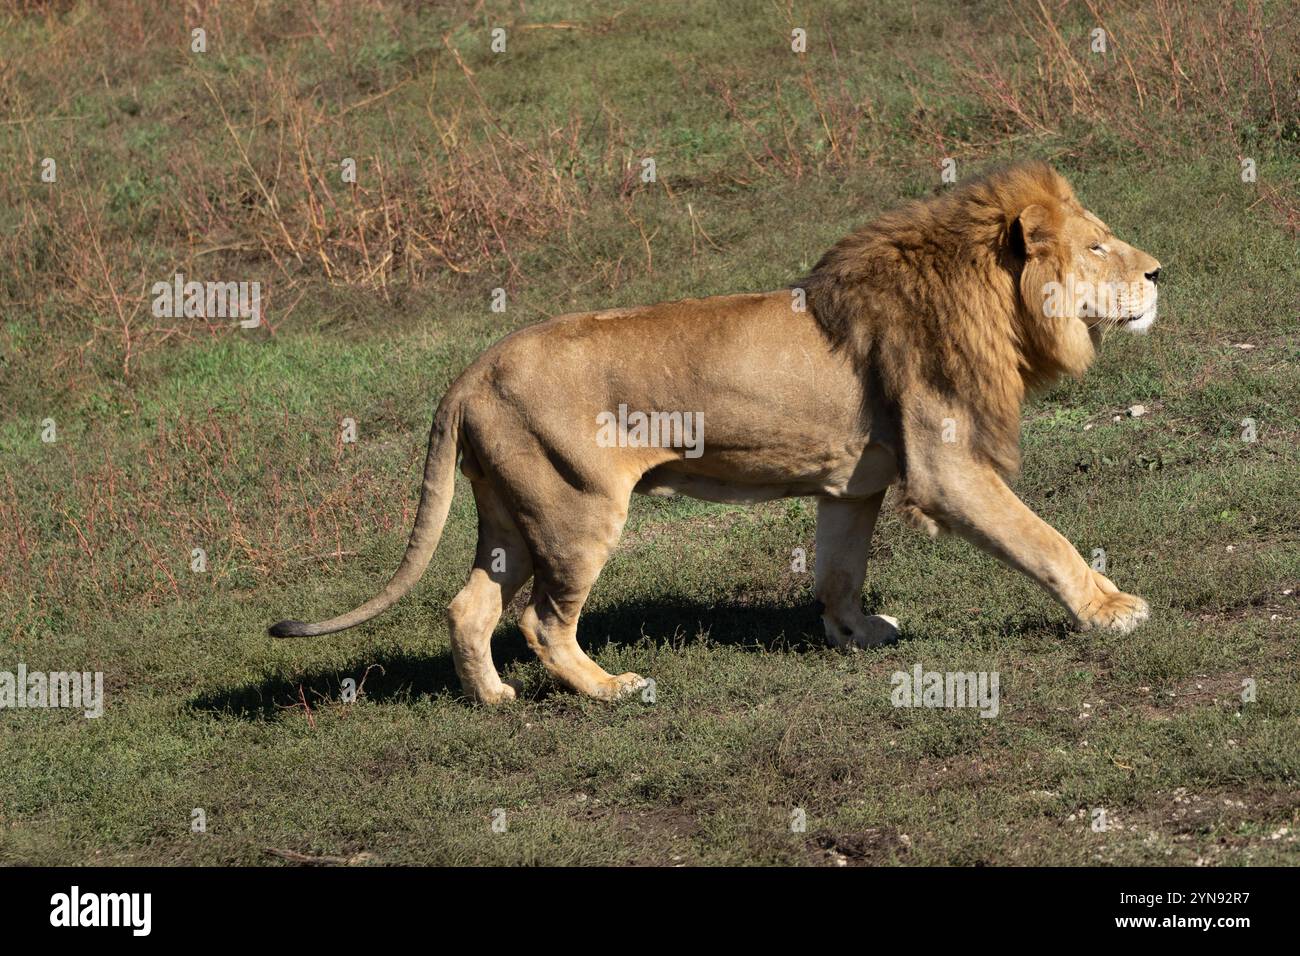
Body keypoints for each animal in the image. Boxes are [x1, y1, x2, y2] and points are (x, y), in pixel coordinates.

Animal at [270, 161, 1162, 703]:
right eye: (1097, 245)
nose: (1159, 272)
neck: (989, 303)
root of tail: (471, 370)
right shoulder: (948, 470)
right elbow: (1043, 539)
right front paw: (1111, 608)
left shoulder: (853, 481)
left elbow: (839, 569)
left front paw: (855, 633)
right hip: (574, 509)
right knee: (540, 621)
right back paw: (612, 690)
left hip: (513, 514)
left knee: (468, 606)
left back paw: (493, 697)